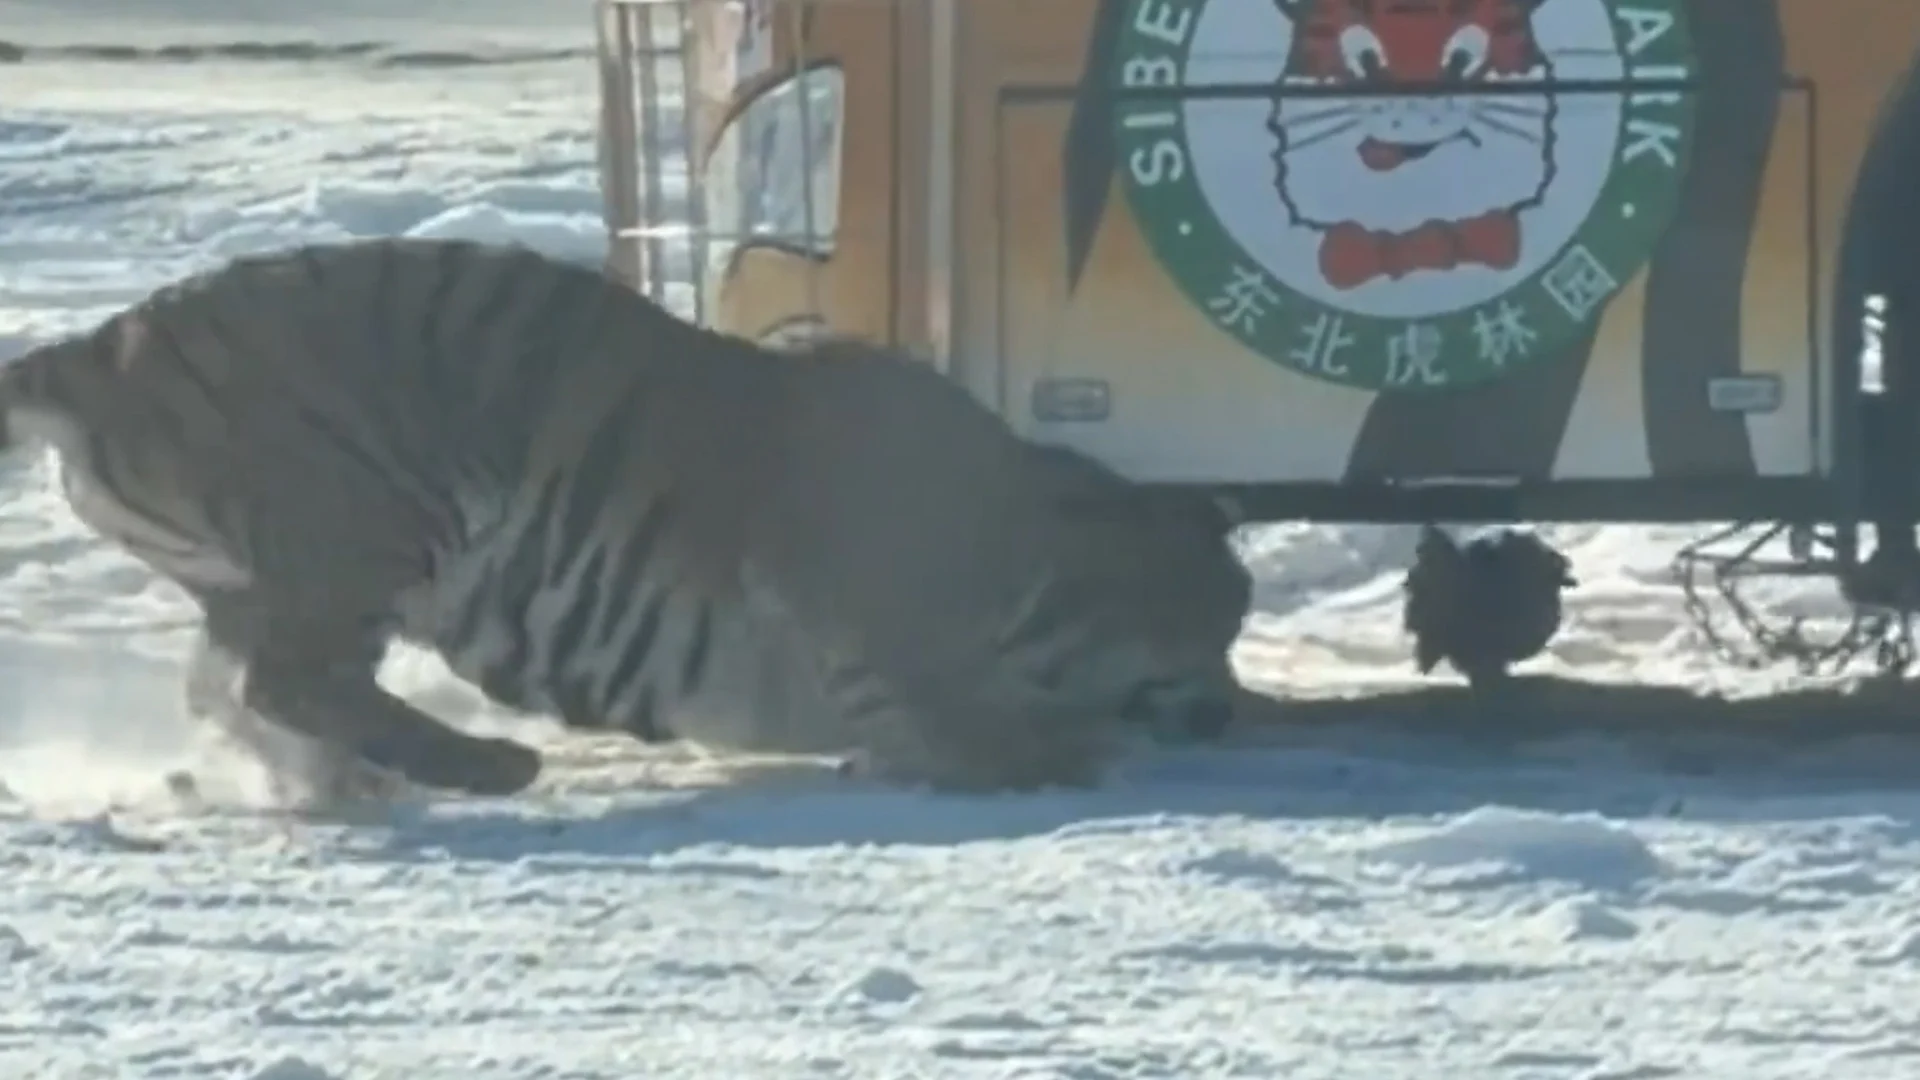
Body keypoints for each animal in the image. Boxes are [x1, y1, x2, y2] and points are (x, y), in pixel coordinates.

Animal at [0, 236, 1251, 801]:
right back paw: (480, 765)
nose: (1231, 705)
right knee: (284, 681)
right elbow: (1004, 733)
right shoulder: (890, 644)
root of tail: (103, 344)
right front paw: (1075, 752)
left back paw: (345, 787)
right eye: (1216, 626)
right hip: (378, 506)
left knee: (225, 685)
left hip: (257, 574)